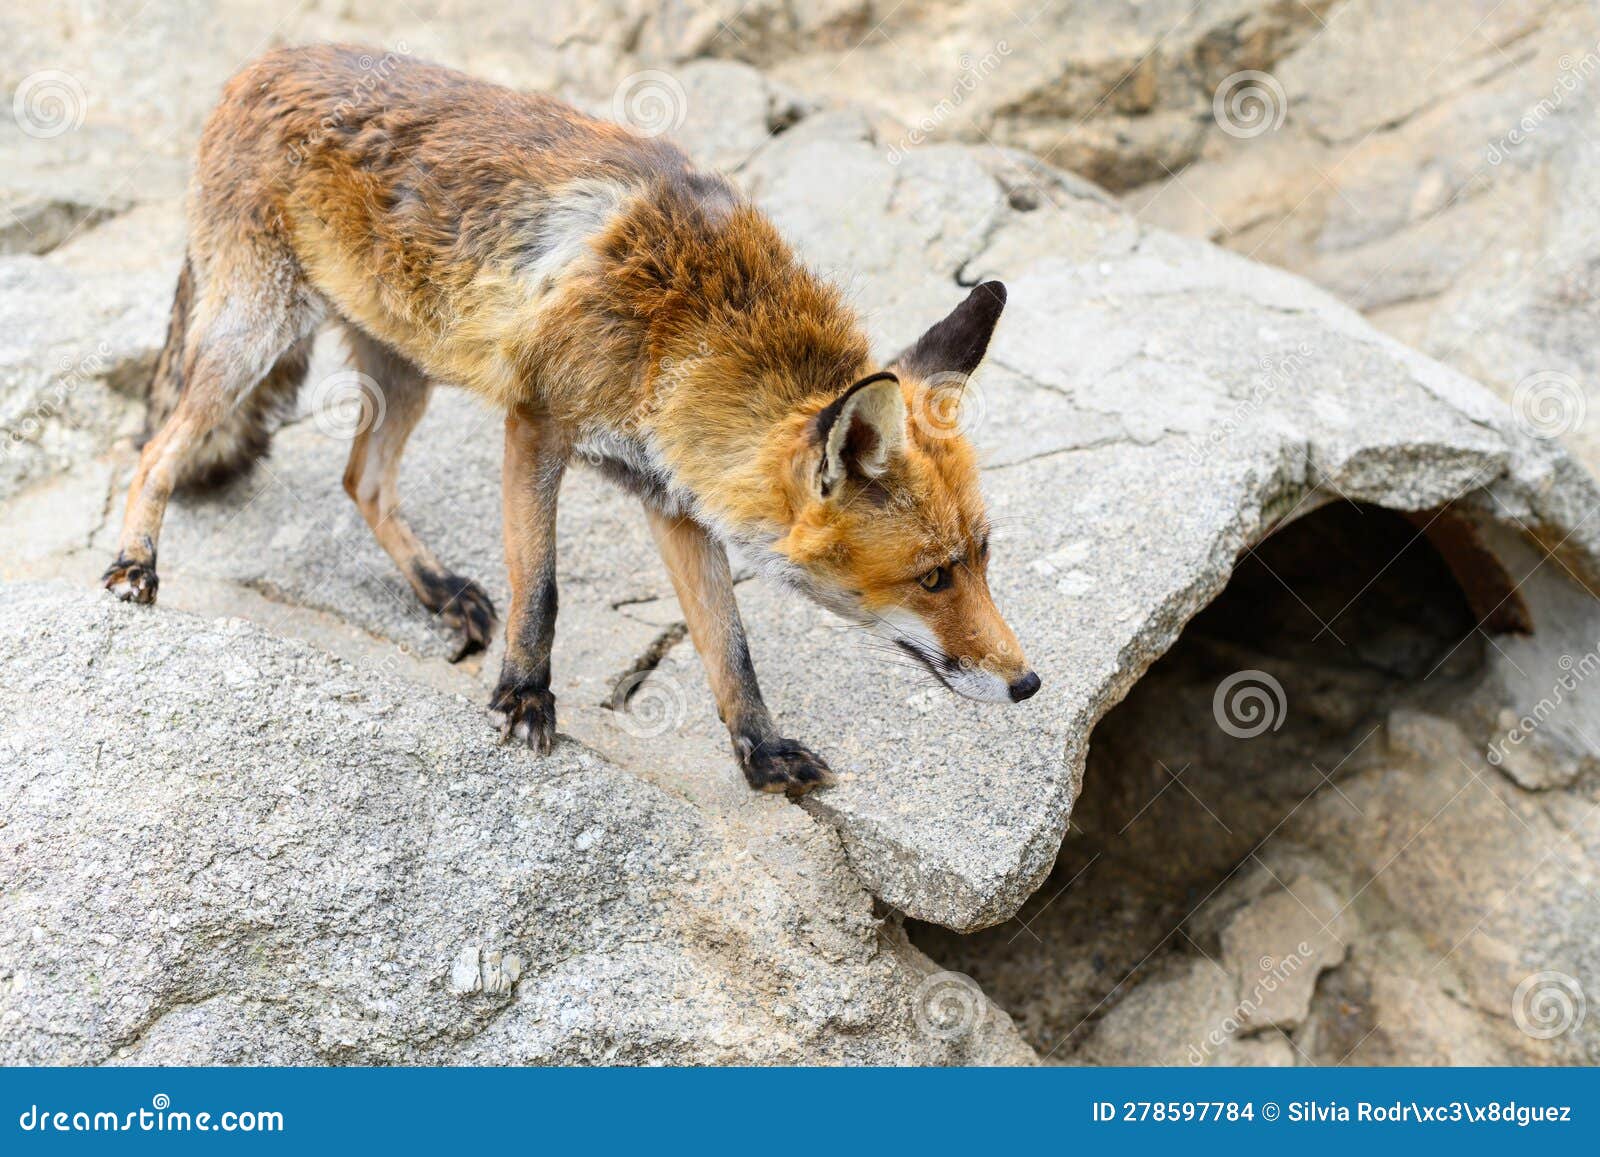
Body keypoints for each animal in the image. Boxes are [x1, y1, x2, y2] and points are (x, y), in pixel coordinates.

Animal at [104, 44, 1040, 797]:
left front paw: (761, 749)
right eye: (933, 577)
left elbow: (728, 646)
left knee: (361, 479)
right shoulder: (537, 425)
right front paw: (523, 696)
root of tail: (264, 61)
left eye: (983, 559)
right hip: (256, 332)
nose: (1028, 683)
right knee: (154, 449)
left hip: (402, 367)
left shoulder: (669, 498)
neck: (687, 333)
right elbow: (543, 589)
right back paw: (136, 561)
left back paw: (438, 589)